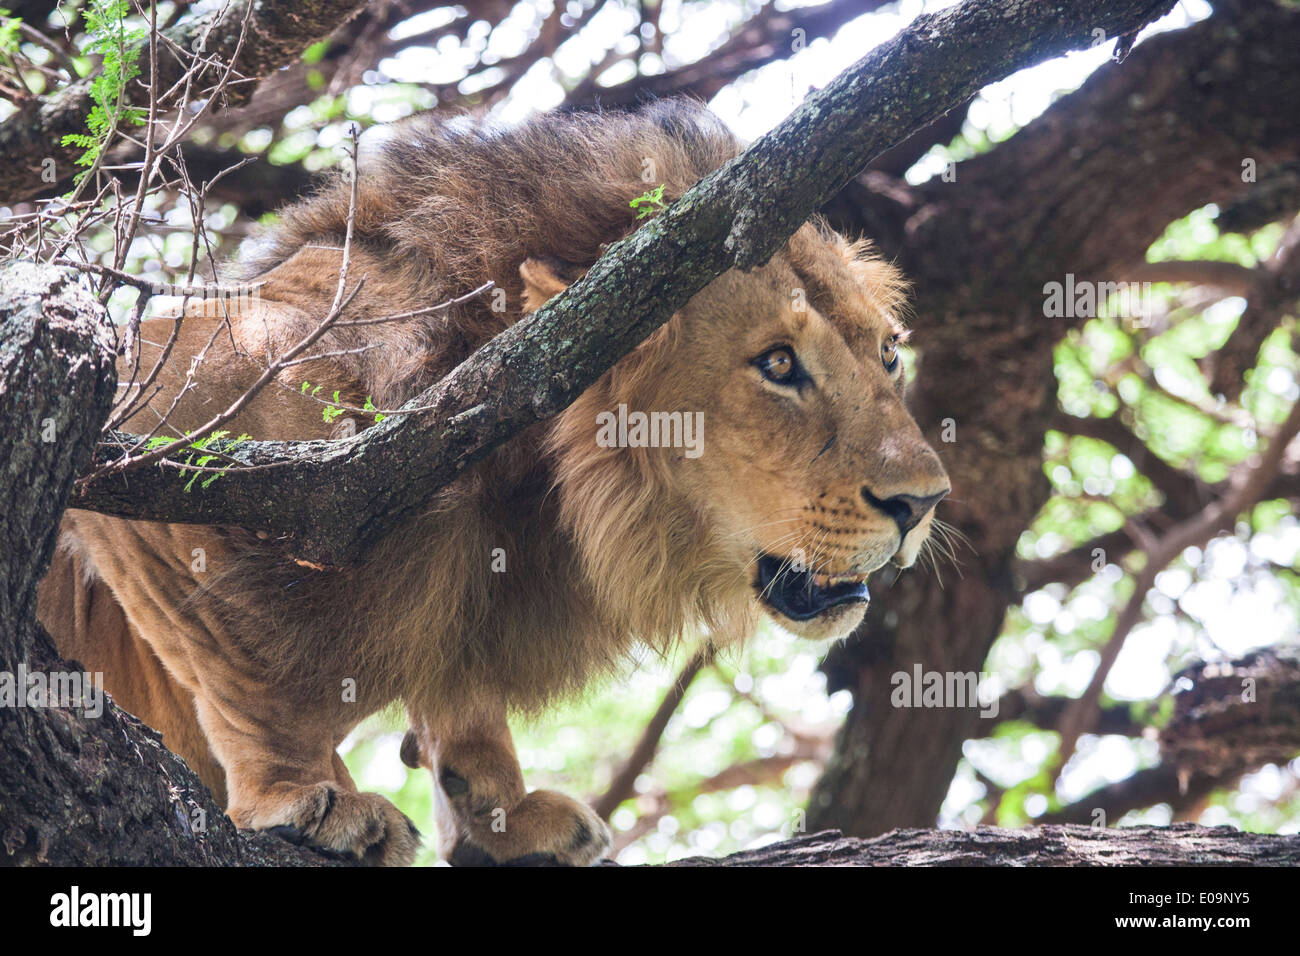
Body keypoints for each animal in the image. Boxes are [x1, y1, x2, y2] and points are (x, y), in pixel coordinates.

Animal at [37, 99, 950, 866]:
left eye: (889, 354)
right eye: (778, 364)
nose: (924, 503)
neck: (530, 483)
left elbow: (460, 681)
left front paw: (495, 813)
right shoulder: (161, 413)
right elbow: (250, 679)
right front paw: (304, 796)